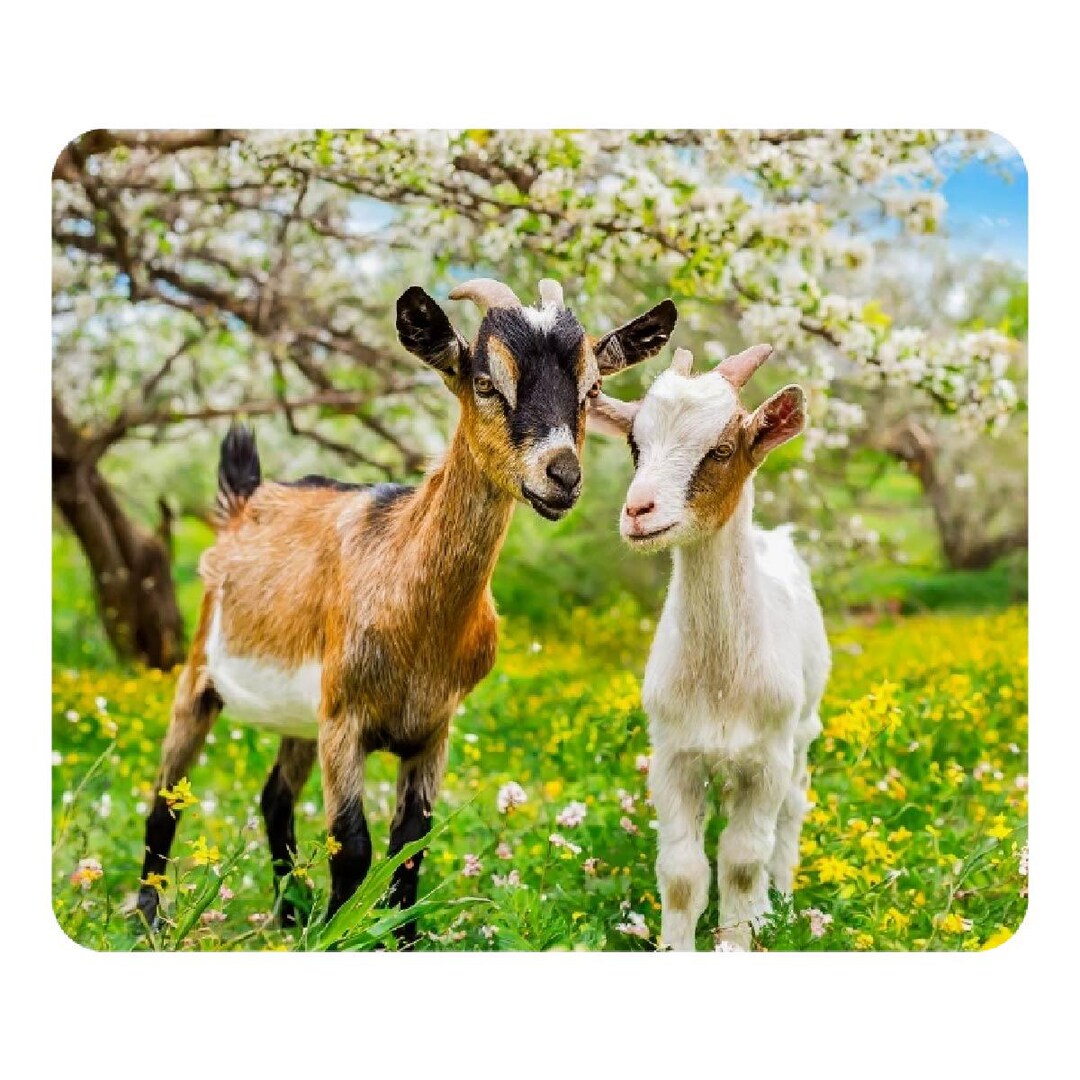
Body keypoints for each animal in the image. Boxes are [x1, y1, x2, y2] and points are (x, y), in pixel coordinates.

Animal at [135, 277, 678, 942]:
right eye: (486, 382)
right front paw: (338, 937)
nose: (563, 476)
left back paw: (288, 914)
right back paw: (150, 917)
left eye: (592, 389)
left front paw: (402, 940)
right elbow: (353, 845)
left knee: (274, 797)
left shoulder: (431, 727)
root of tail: (242, 501)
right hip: (201, 676)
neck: (414, 614)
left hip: (301, 715)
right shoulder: (344, 720)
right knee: (166, 798)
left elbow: (409, 844)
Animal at [588, 344, 830, 950]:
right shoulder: (673, 754)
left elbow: (742, 861)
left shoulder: (767, 757)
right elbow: (681, 872)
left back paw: (780, 903)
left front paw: (738, 938)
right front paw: (679, 944)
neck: (721, 683)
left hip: (803, 729)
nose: (638, 511)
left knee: (792, 809)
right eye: (635, 446)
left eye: (720, 449)